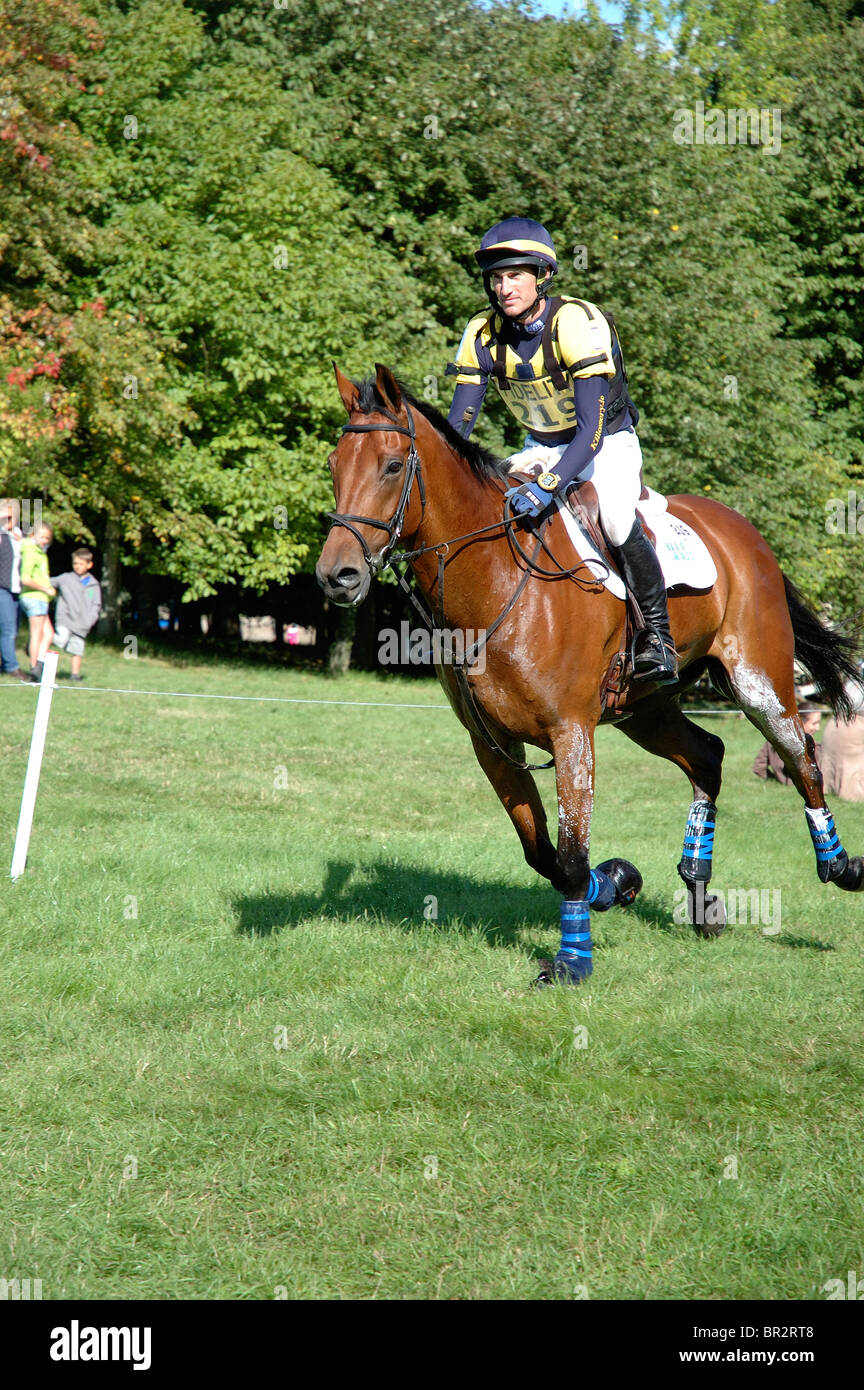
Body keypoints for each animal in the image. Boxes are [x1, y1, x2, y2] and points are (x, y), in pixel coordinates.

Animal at [316, 363, 863, 984]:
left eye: (391, 466)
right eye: (334, 465)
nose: (337, 576)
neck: (495, 582)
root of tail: (741, 530)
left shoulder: (571, 732)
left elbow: (572, 857)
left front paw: (571, 962)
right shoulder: (492, 743)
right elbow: (544, 854)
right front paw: (619, 882)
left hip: (758, 683)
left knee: (802, 759)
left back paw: (840, 866)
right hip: (643, 708)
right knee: (707, 755)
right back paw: (701, 897)